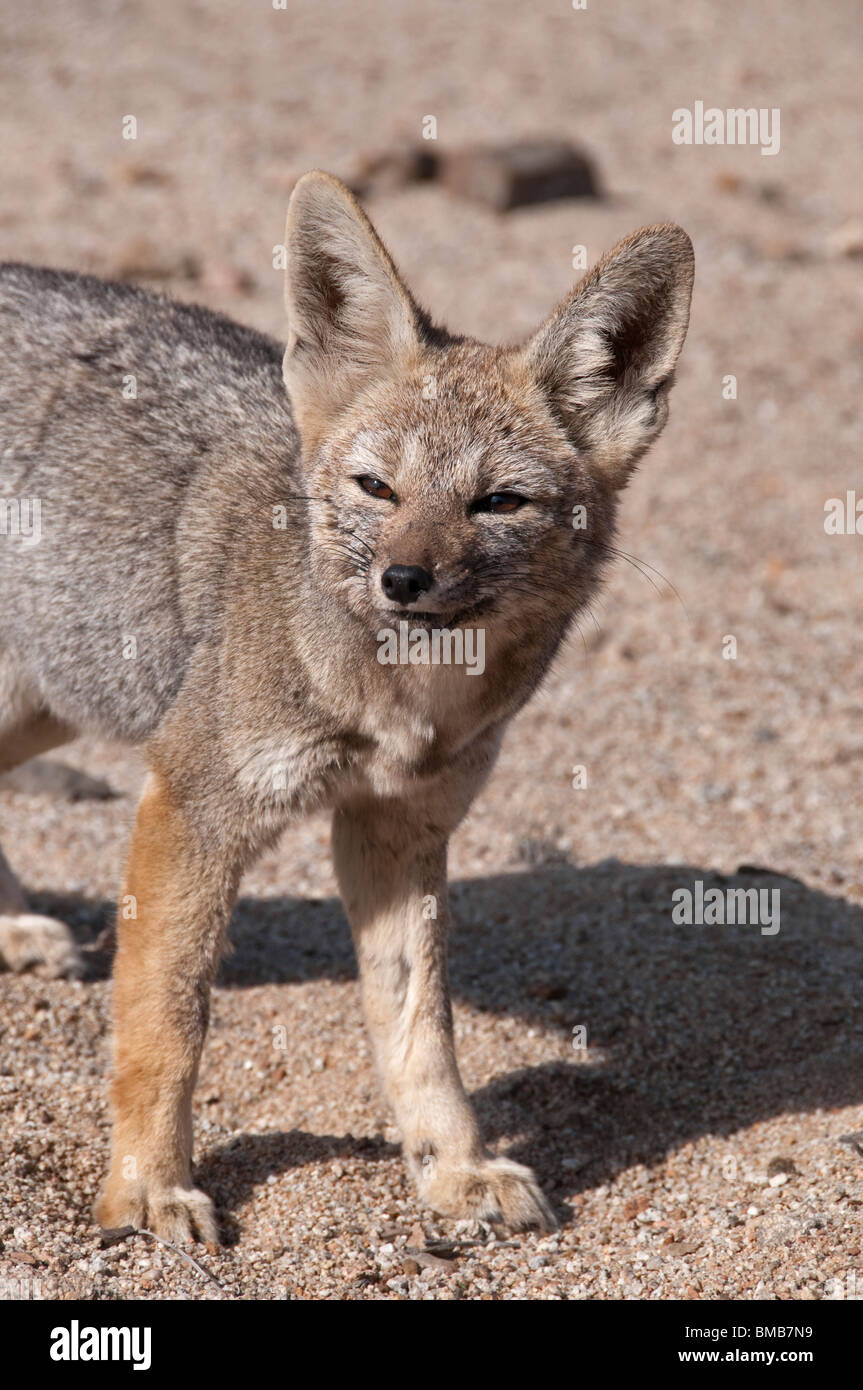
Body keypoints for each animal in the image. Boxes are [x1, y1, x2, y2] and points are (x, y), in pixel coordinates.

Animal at [0, 172, 693, 1240]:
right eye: (376, 487)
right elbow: (168, 1023)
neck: (404, 694)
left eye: (497, 503)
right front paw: (150, 1189)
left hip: (43, 701)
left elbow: (419, 1030)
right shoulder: (194, 805)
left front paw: (454, 1170)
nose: (403, 578)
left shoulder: (398, 828)